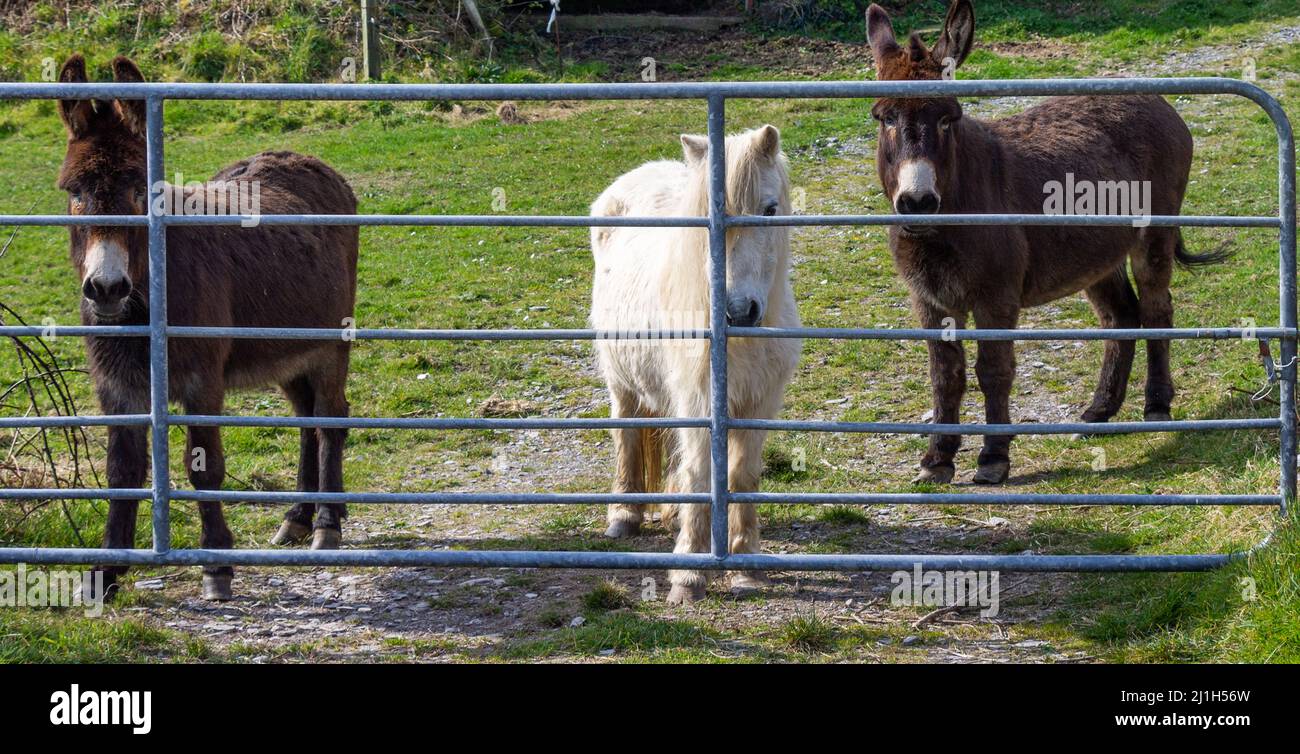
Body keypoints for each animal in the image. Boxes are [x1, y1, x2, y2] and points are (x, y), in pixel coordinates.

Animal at [55, 55, 359, 600]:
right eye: (75, 193)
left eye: (139, 188)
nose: (106, 289)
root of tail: (310, 160)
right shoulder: (118, 387)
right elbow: (121, 471)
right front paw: (106, 573)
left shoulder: (202, 383)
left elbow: (206, 468)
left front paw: (216, 566)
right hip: (288, 351)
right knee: (306, 418)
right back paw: (298, 517)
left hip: (330, 343)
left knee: (330, 418)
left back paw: (326, 525)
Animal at [589, 125, 802, 604]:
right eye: (709, 213)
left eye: (770, 209)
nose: (739, 311)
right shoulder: (700, 399)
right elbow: (701, 474)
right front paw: (689, 574)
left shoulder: (758, 403)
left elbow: (741, 476)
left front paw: (744, 565)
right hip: (622, 382)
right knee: (627, 434)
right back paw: (624, 514)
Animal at [866, 1, 1228, 485]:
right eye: (884, 117)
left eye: (947, 118)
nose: (918, 202)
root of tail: (1152, 98)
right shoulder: (928, 300)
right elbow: (944, 375)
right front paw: (937, 460)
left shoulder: (996, 297)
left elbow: (994, 371)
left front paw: (993, 458)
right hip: (1097, 256)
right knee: (1121, 315)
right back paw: (1098, 412)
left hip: (1153, 234)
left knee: (1156, 310)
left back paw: (1155, 406)